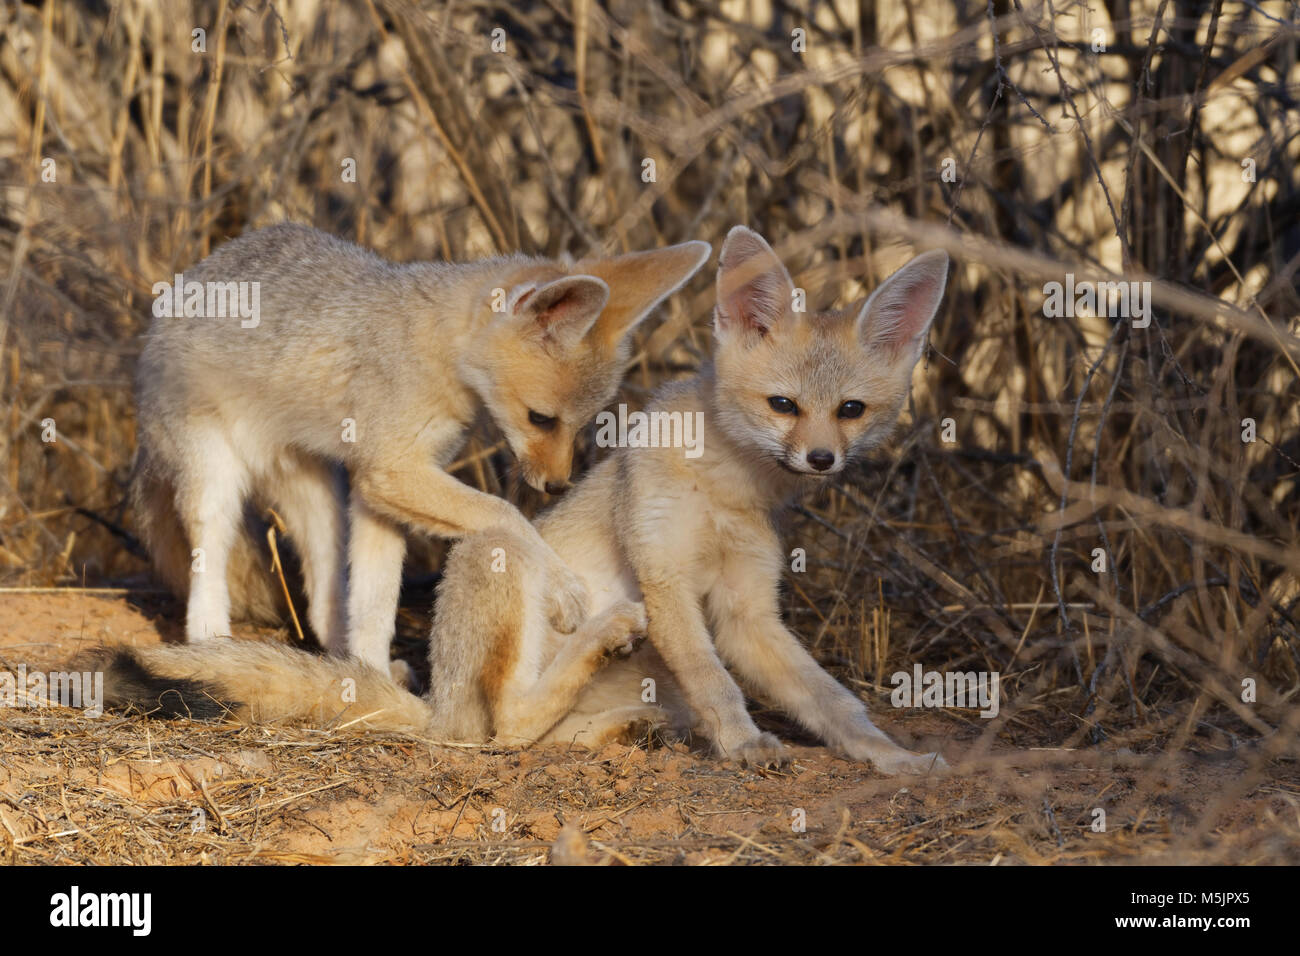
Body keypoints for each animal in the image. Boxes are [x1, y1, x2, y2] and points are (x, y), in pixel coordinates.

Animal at [131, 222, 711, 676]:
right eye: (541, 419)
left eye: (583, 426)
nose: (555, 485)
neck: (432, 344)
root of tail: (185, 283)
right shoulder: (391, 473)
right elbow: (504, 514)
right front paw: (563, 585)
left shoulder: (379, 492)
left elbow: (376, 604)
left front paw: (369, 680)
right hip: (217, 485)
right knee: (207, 577)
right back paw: (211, 643)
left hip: (321, 502)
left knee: (323, 606)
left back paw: (344, 664)